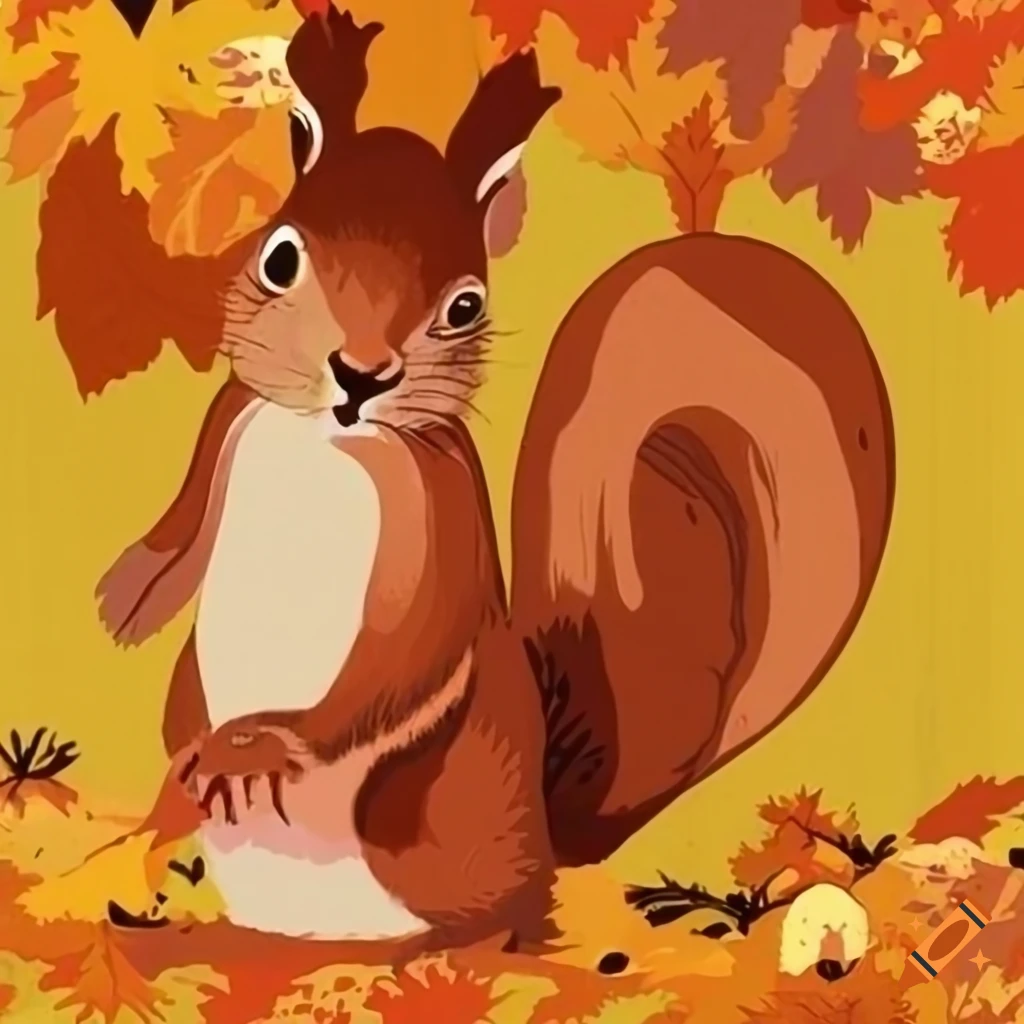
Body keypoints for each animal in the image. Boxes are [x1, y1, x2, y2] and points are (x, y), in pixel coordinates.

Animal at [94, 7, 895, 958]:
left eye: (466, 305)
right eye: (279, 257)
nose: (361, 375)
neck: (322, 443)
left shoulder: (433, 510)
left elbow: (408, 646)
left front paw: (259, 746)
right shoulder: (233, 421)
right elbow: (186, 517)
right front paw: (134, 597)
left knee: (488, 927)